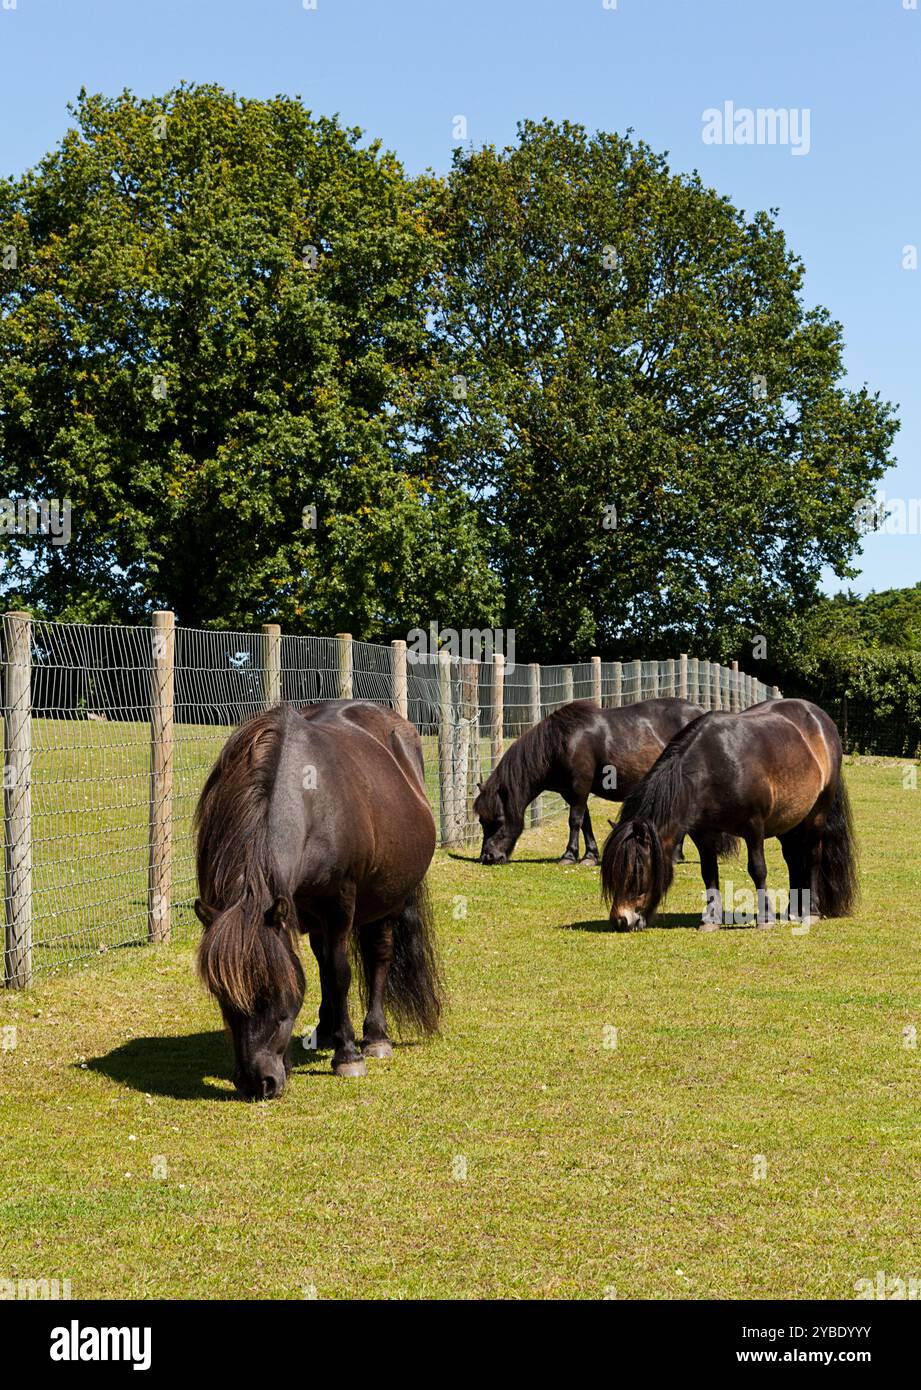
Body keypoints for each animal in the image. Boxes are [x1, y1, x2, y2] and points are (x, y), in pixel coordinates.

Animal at [194, 700, 442, 1097]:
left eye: (276, 994)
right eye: (222, 996)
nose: (257, 1082)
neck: (309, 803)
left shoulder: (339, 903)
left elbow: (340, 973)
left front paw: (348, 1056)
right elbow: (324, 969)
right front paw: (335, 1036)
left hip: (387, 900)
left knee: (378, 956)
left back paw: (374, 1037)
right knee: (323, 958)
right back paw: (328, 1030)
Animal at [473, 697, 704, 866]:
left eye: (498, 820)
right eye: (482, 821)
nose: (488, 856)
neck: (560, 742)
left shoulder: (579, 787)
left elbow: (574, 820)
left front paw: (569, 856)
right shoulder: (570, 792)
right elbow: (585, 821)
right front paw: (590, 856)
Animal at [600, 698, 857, 932]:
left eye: (638, 871)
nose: (620, 920)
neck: (713, 764)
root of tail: (821, 720)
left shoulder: (754, 827)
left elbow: (758, 869)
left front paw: (765, 918)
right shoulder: (702, 833)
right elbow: (709, 872)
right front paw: (710, 920)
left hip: (816, 815)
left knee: (813, 856)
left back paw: (811, 911)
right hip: (789, 820)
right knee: (793, 859)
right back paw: (793, 911)